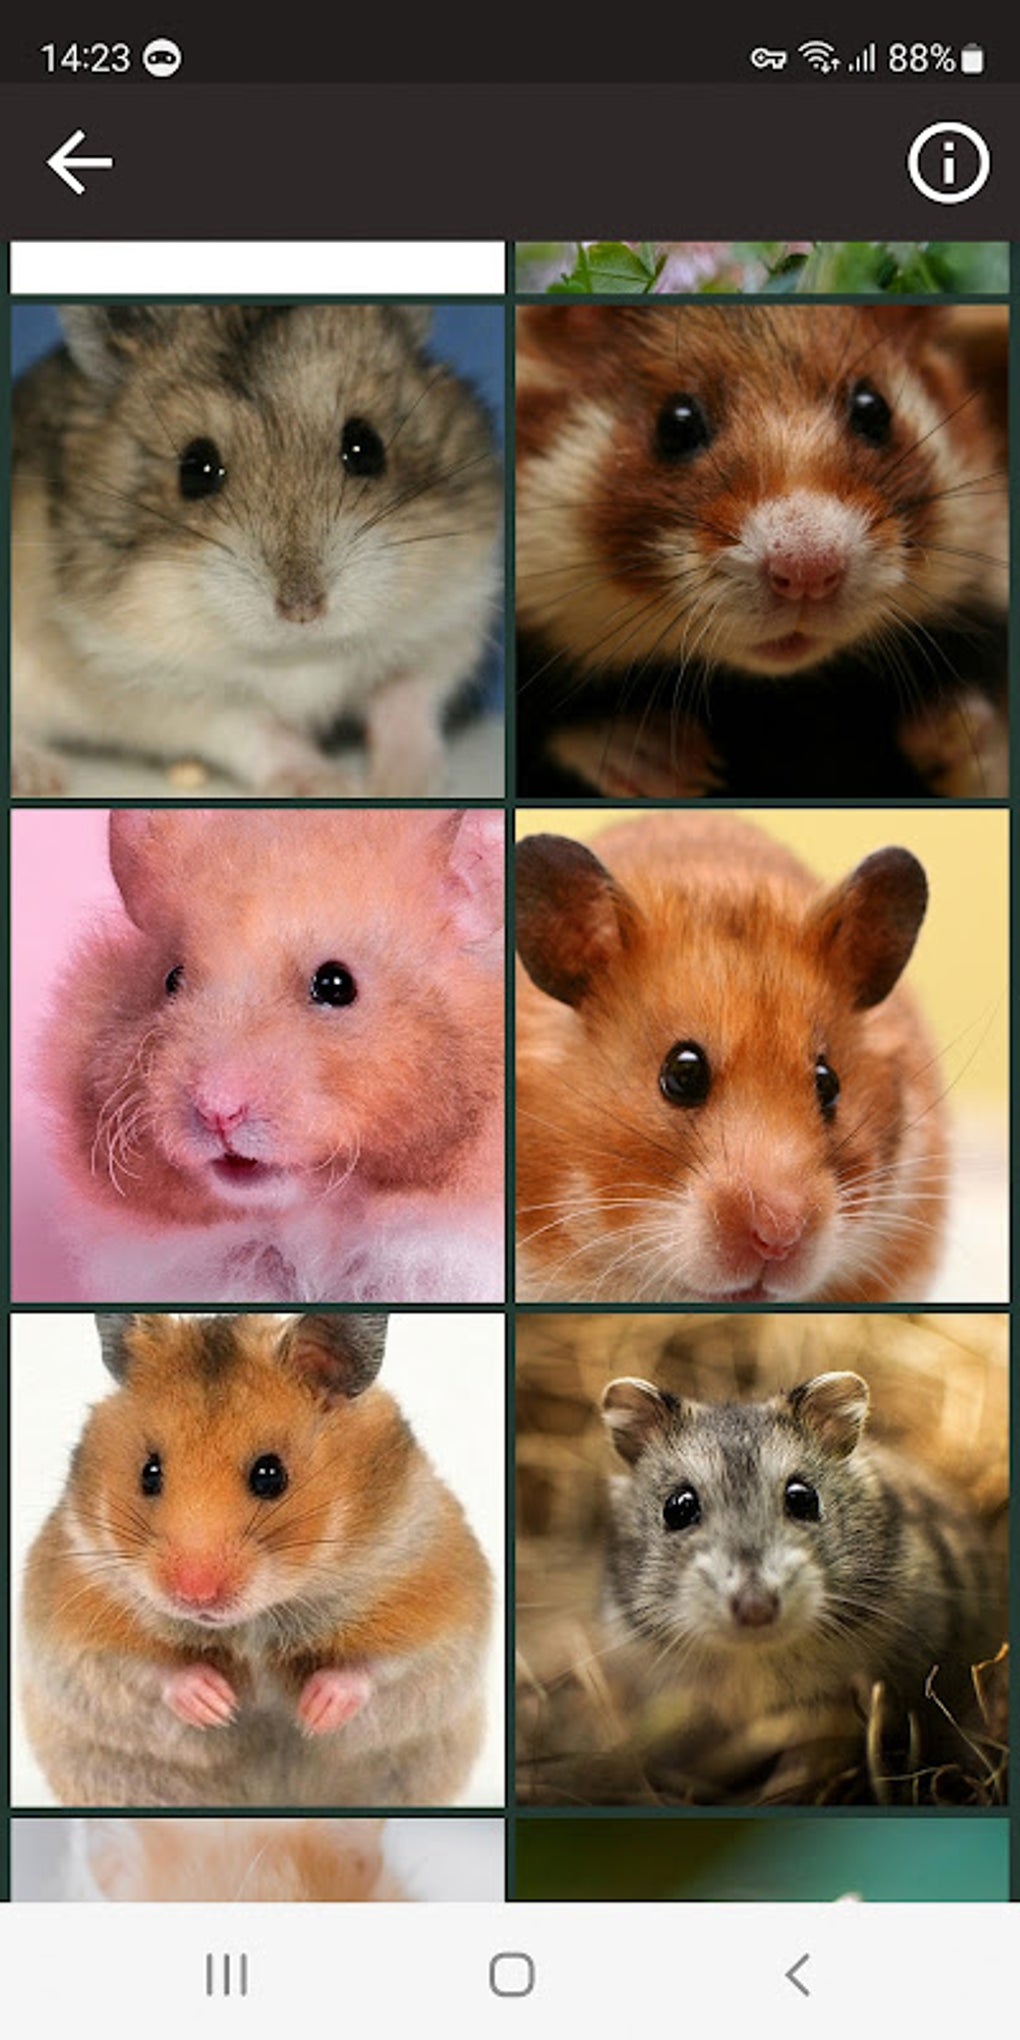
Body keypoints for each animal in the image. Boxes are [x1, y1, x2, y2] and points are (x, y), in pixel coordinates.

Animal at [12, 304, 501, 797]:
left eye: (366, 446)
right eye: (195, 470)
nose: (303, 609)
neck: (305, 651)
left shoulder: (449, 622)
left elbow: (408, 699)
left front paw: (400, 785)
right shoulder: (164, 686)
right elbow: (259, 732)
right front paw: (334, 785)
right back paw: (40, 775)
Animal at [21, 1312, 493, 1808]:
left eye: (270, 1475)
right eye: (149, 1473)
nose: (195, 1595)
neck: (255, 1622)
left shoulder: (435, 1607)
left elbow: (382, 1667)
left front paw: (313, 1713)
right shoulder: (78, 1623)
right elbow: (144, 1668)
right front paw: (218, 1706)